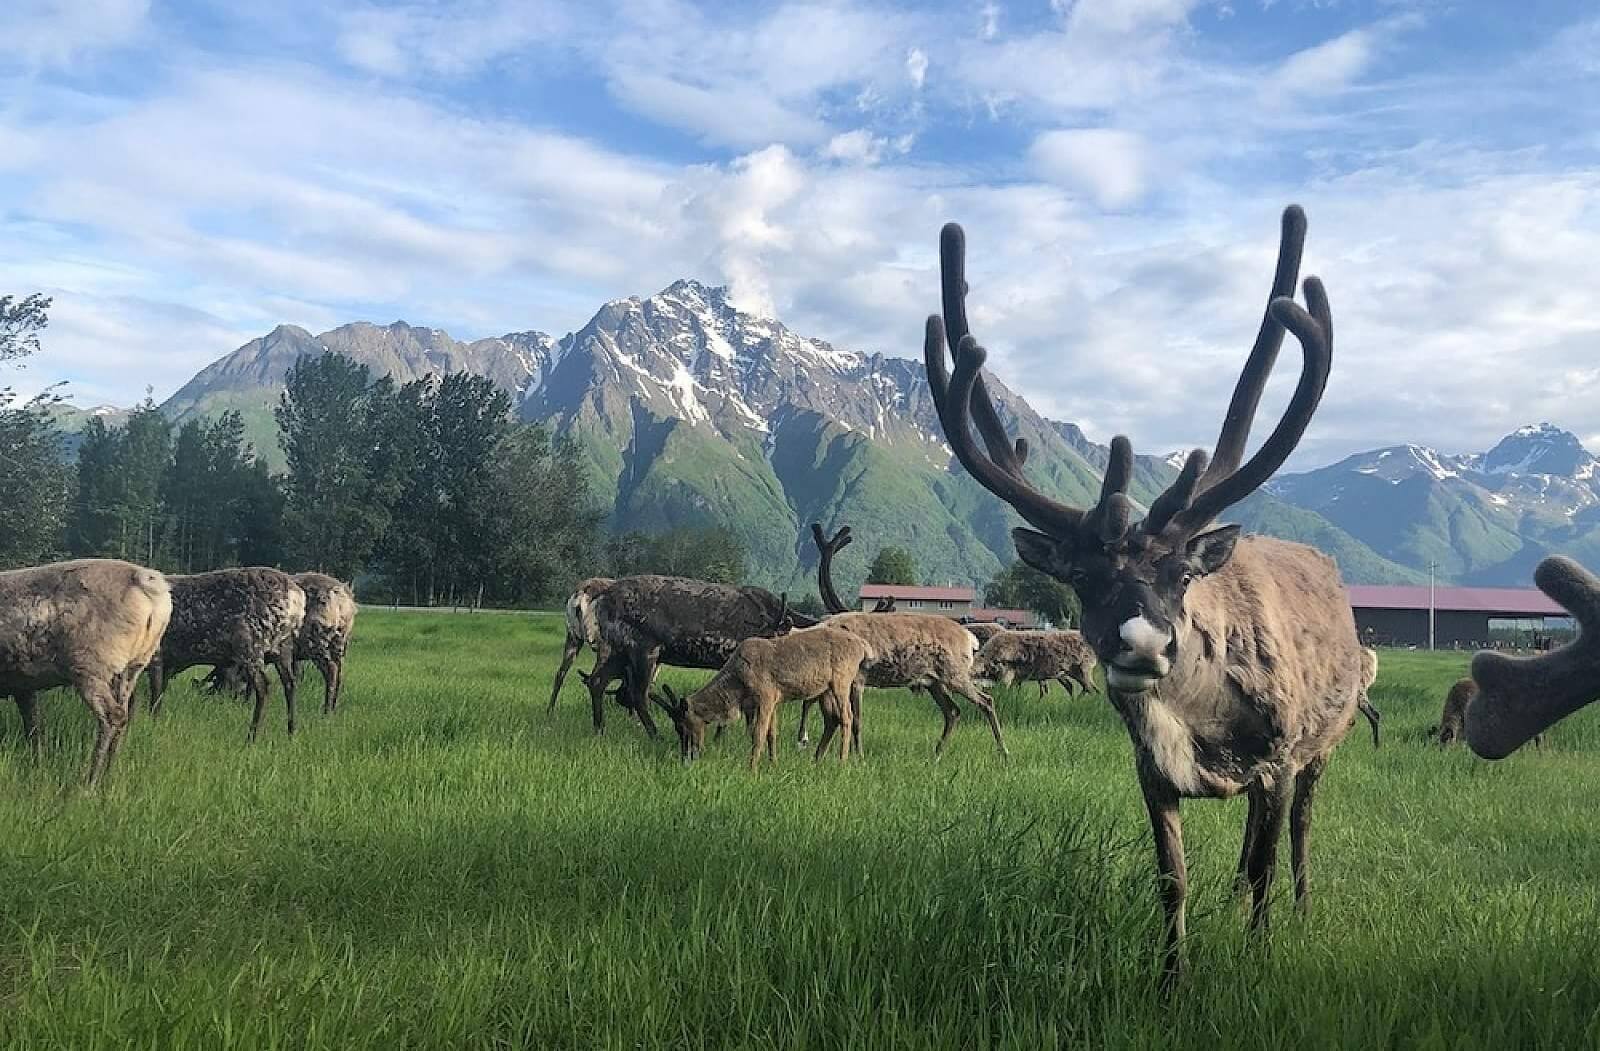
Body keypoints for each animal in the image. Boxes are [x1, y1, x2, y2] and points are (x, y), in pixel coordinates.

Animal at [0, 559, 172, 787]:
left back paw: (90, 782)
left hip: (90, 667)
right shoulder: (23, 685)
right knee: (124, 716)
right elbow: (34, 727)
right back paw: (109, 775)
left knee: (112, 716)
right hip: (132, 668)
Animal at [924, 204, 1358, 984]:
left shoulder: (1278, 758)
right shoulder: (1149, 771)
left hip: (1323, 743)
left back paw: (1304, 908)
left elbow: (1268, 868)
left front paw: (1259, 956)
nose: (1143, 644)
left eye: (1181, 575)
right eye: (1081, 578)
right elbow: (1172, 880)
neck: (1198, 718)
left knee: (1299, 833)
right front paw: (1171, 979)